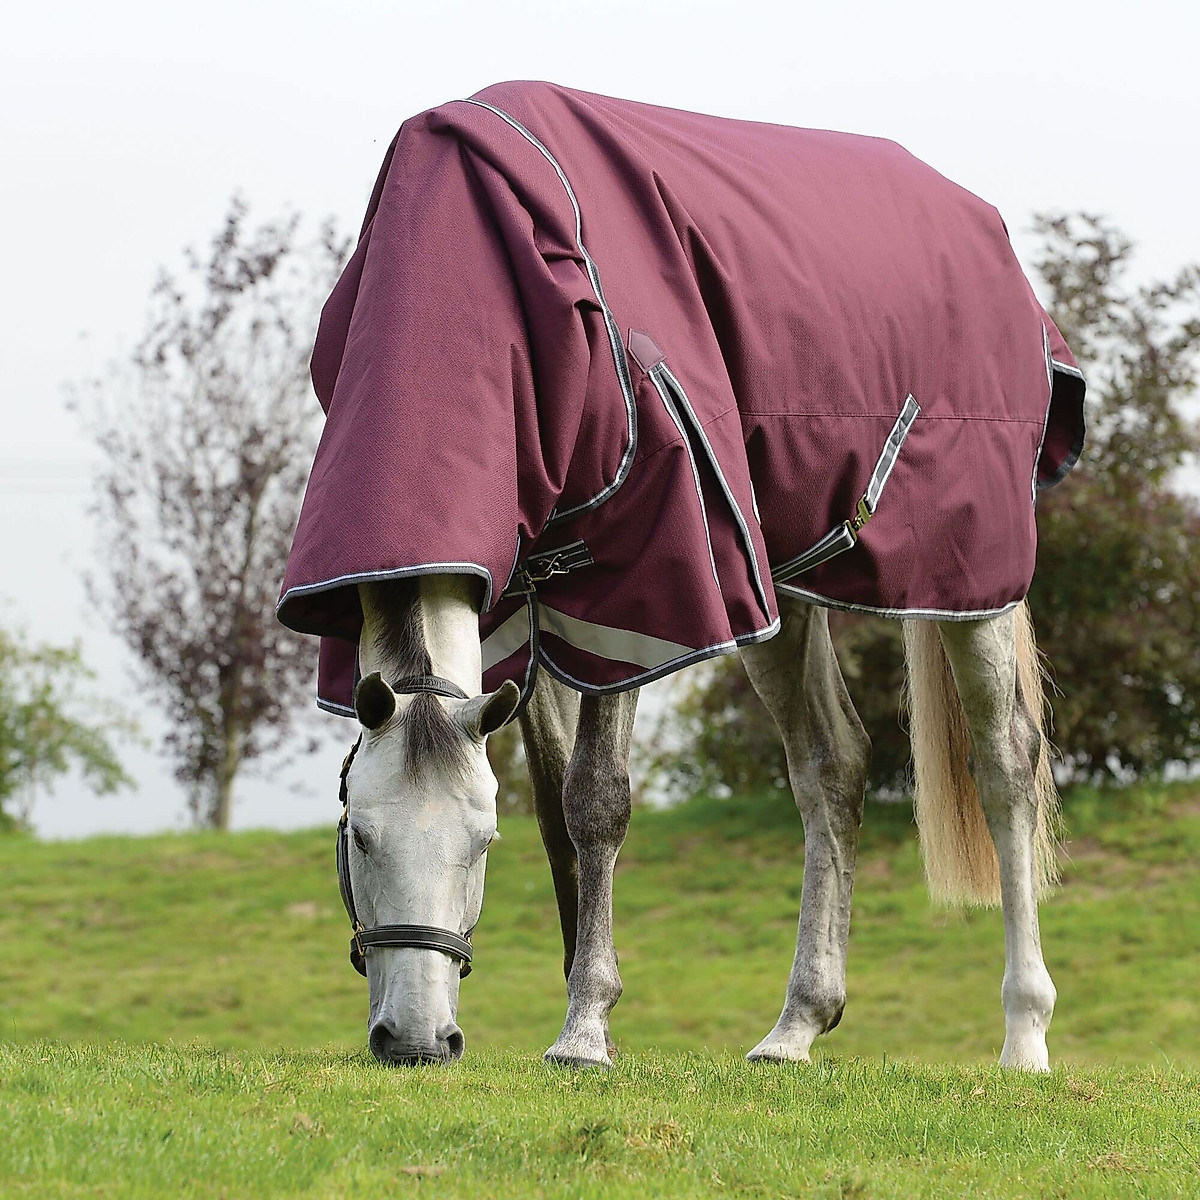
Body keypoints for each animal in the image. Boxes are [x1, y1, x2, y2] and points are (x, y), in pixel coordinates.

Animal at [277, 82, 1084, 1069]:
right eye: (358, 835)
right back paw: (797, 1024)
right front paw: (578, 994)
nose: (417, 1040)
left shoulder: (637, 580)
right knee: (833, 765)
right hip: (780, 576)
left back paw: (1025, 1035)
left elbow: (596, 802)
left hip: (972, 572)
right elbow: (557, 811)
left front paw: (585, 1025)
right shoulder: (524, 605)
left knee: (1006, 764)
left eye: (479, 841)